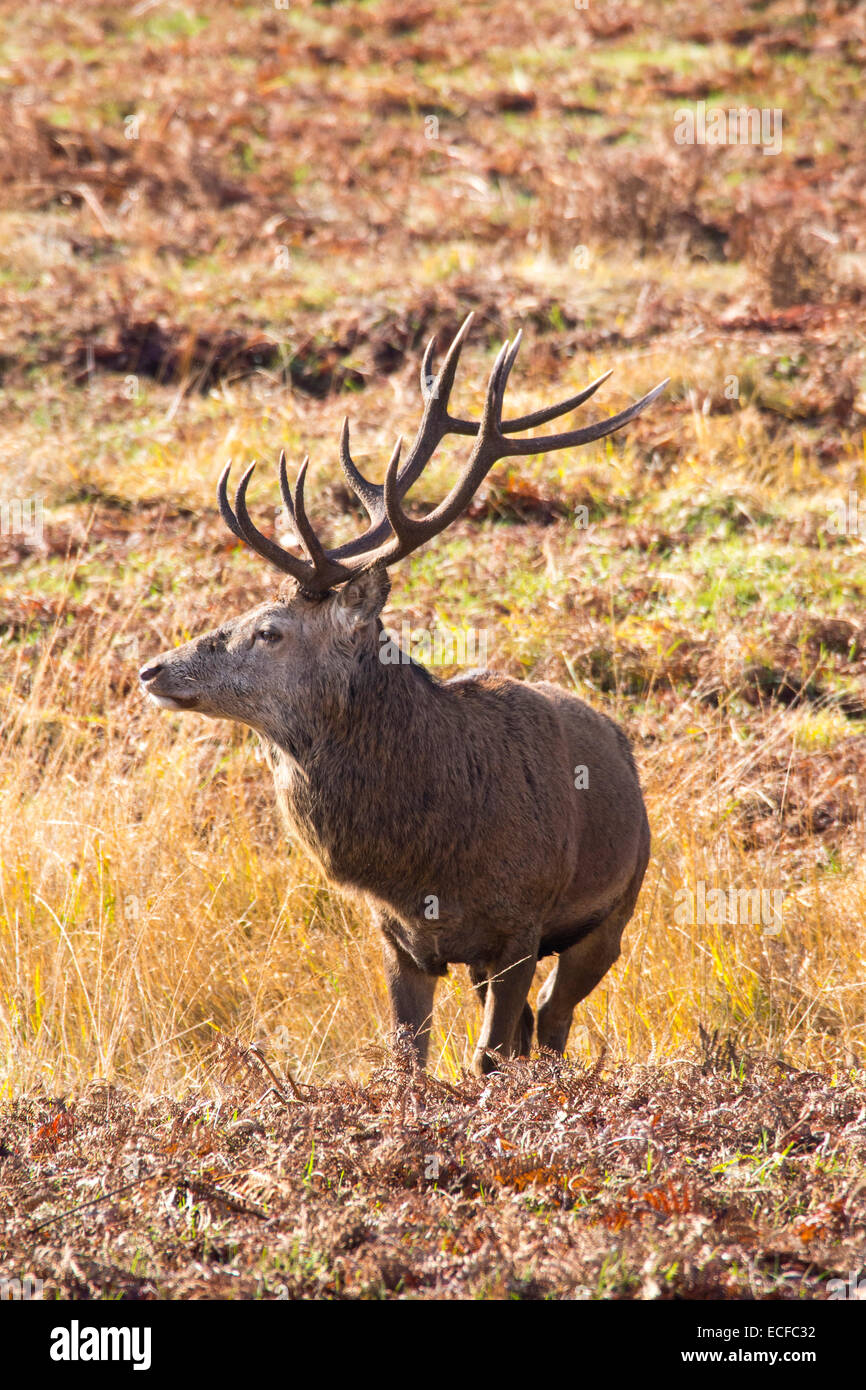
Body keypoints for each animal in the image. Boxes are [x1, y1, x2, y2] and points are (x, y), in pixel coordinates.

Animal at [140, 314, 666, 1074]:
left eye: (268, 630)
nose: (153, 669)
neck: (426, 864)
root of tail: (622, 747)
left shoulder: (519, 928)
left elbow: (487, 1059)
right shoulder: (397, 939)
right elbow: (406, 1061)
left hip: (614, 911)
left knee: (553, 1021)